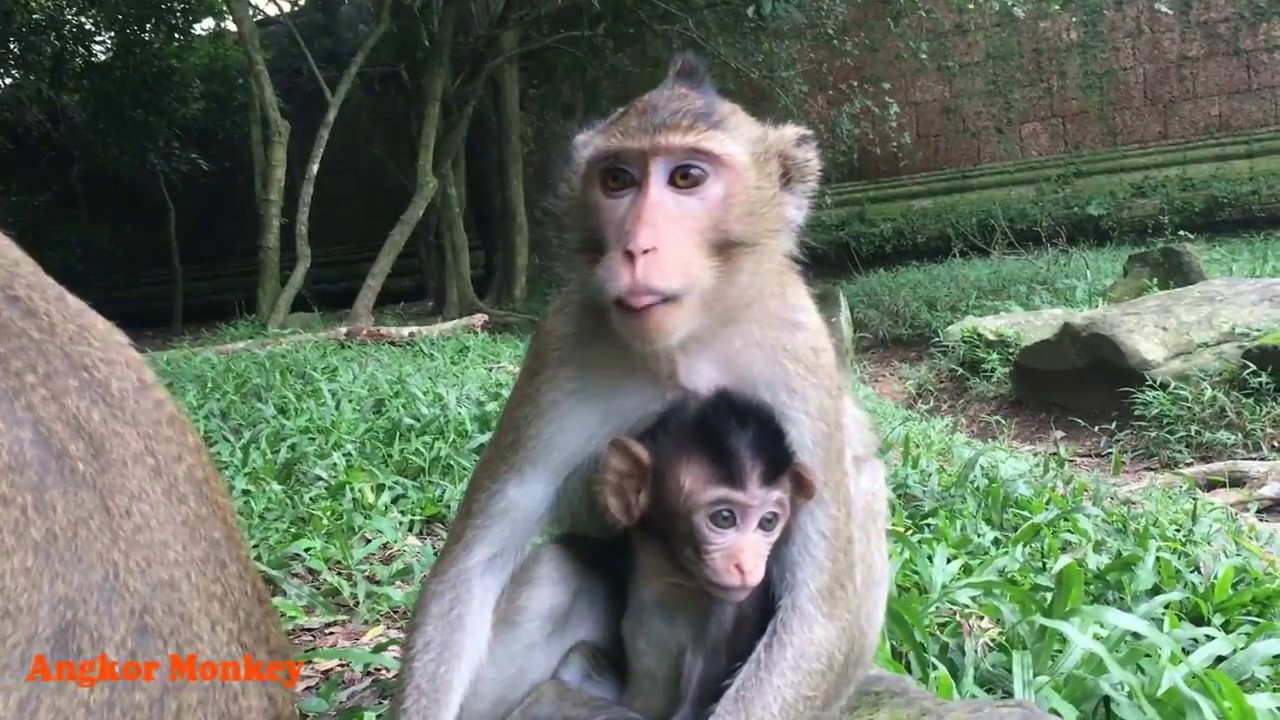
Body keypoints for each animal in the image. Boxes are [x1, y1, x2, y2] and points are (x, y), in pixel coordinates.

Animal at [394, 50, 891, 720]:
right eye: (616, 180)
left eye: (686, 177)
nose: (635, 248)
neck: (687, 345)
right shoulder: (564, 341)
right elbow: (471, 569)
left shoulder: (797, 349)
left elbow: (820, 614)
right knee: (554, 576)